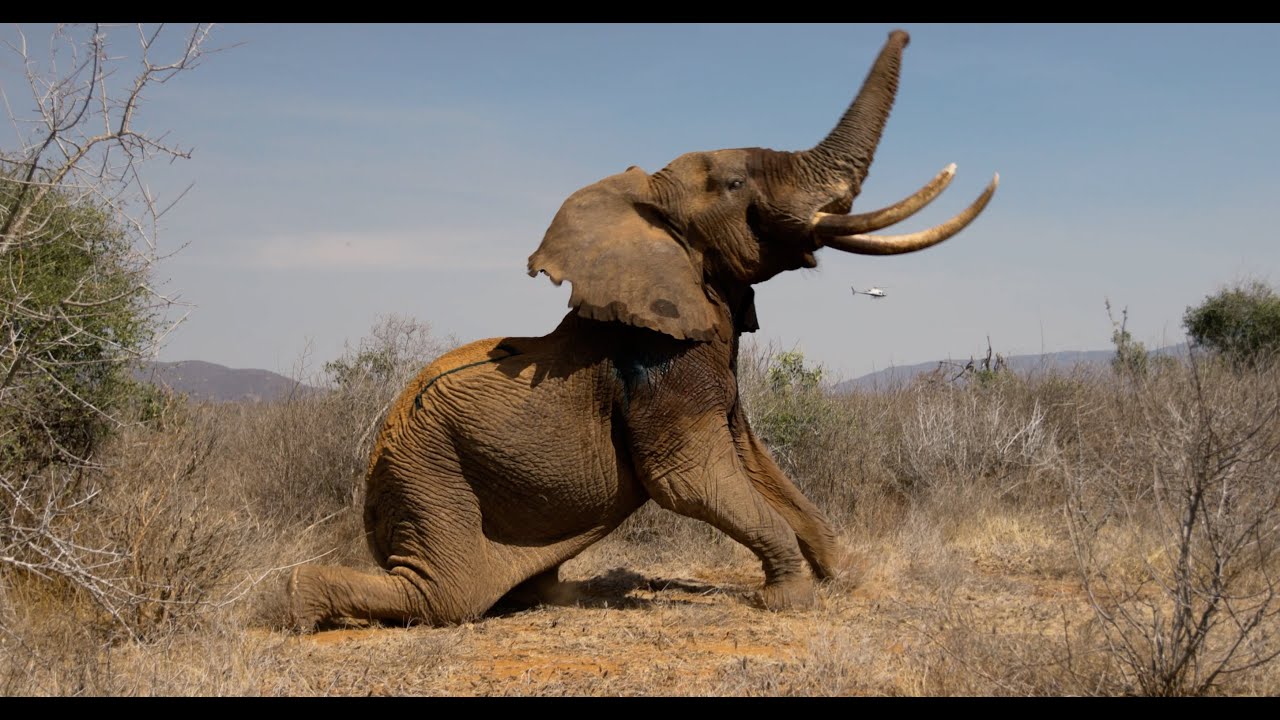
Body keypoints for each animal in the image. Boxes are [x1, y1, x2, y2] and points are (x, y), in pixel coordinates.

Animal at [287, 29, 997, 630]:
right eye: (734, 183)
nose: (905, 34)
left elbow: (754, 460)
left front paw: (843, 576)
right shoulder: (663, 360)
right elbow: (687, 476)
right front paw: (789, 600)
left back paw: (565, 596)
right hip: (429, 472)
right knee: (441, 596)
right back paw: (294, 602)